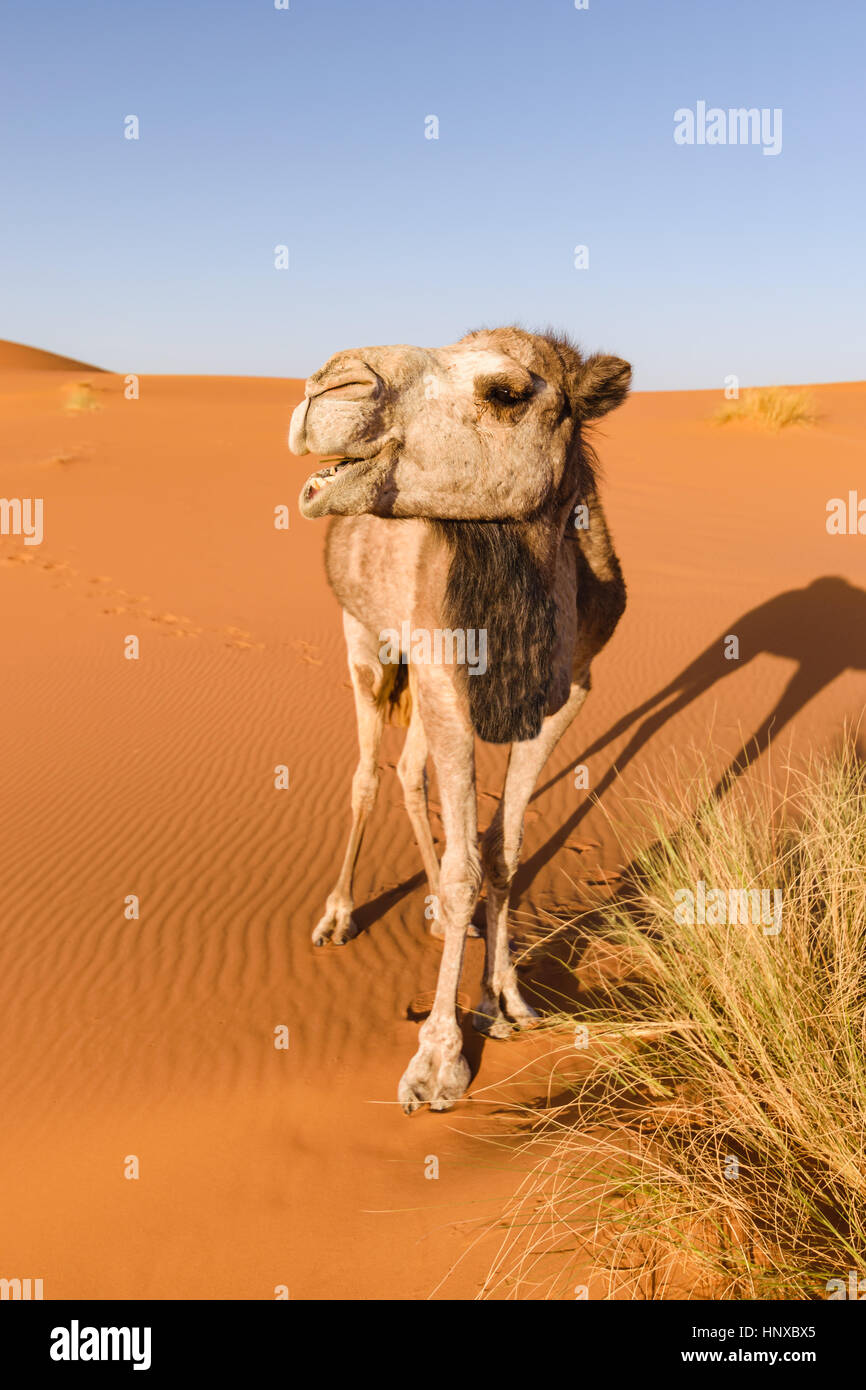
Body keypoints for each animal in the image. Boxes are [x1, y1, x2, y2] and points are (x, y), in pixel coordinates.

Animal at [289, 326, 630, 1113]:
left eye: (506, 392)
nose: (329, 387)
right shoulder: (445, 679)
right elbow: (464, 865)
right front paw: (437, 1061)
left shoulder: (566, 694)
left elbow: (502, 850)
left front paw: (505, 1001)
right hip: (364, 637)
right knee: (368, 773)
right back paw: (339, 916)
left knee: (412, 771)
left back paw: (451, 922)